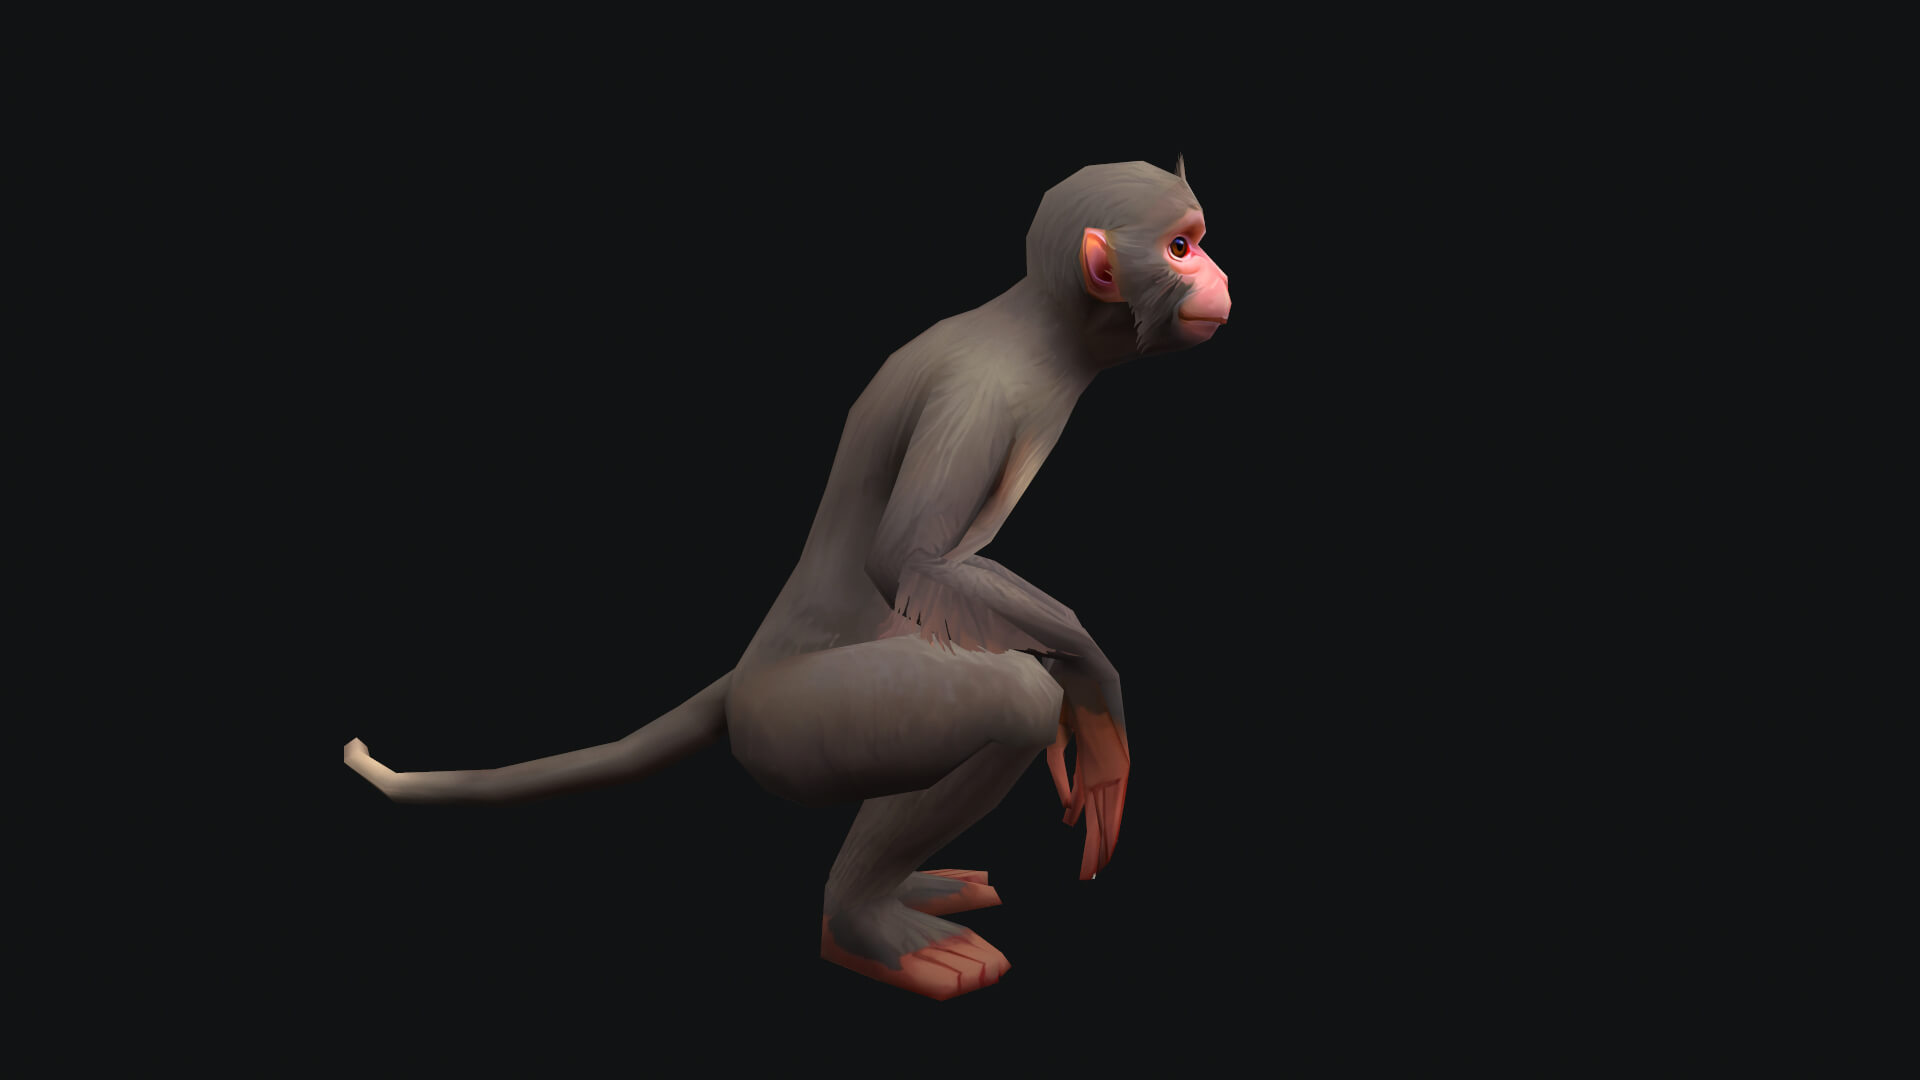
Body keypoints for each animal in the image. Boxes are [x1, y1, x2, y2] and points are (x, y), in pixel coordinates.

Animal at [344, 157, 1231, 1000]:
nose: (1220, 275)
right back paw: (866, 924)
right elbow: (912, 561)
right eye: (1180, 248)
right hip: (798, 730)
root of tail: (746, 678)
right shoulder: (980, 396)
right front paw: (1096, 684)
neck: (1044, 333)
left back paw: (889, 896)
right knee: (1007, 700)